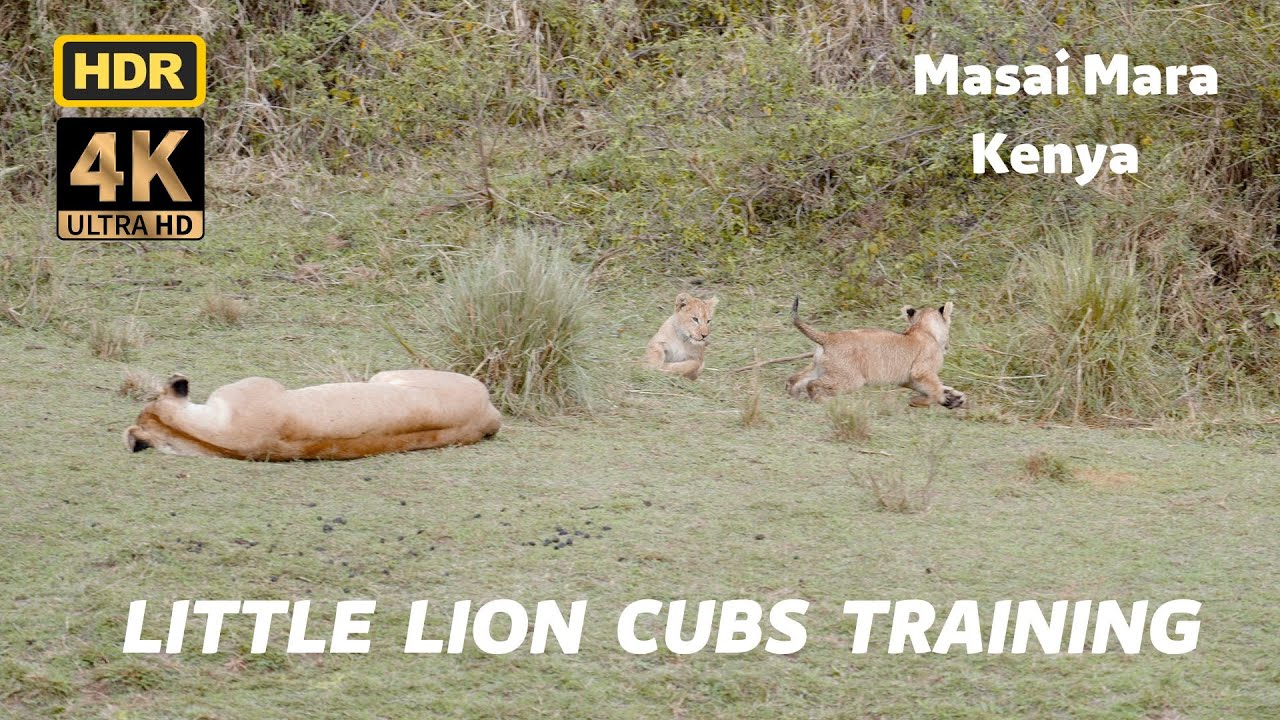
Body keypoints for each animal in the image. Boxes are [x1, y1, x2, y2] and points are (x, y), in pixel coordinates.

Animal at [786, 297, 965, 408]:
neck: (923, 328)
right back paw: (823, 401)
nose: (949, 346)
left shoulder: (909, 379)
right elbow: (935, 389)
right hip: (851, 379)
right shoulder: (920, 371)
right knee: (812, 384)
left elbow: (938, 386)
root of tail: (828, 337)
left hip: (819, 368)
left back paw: (793, 397)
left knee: (795, 379)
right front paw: (920, 401)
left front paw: (955, 397)